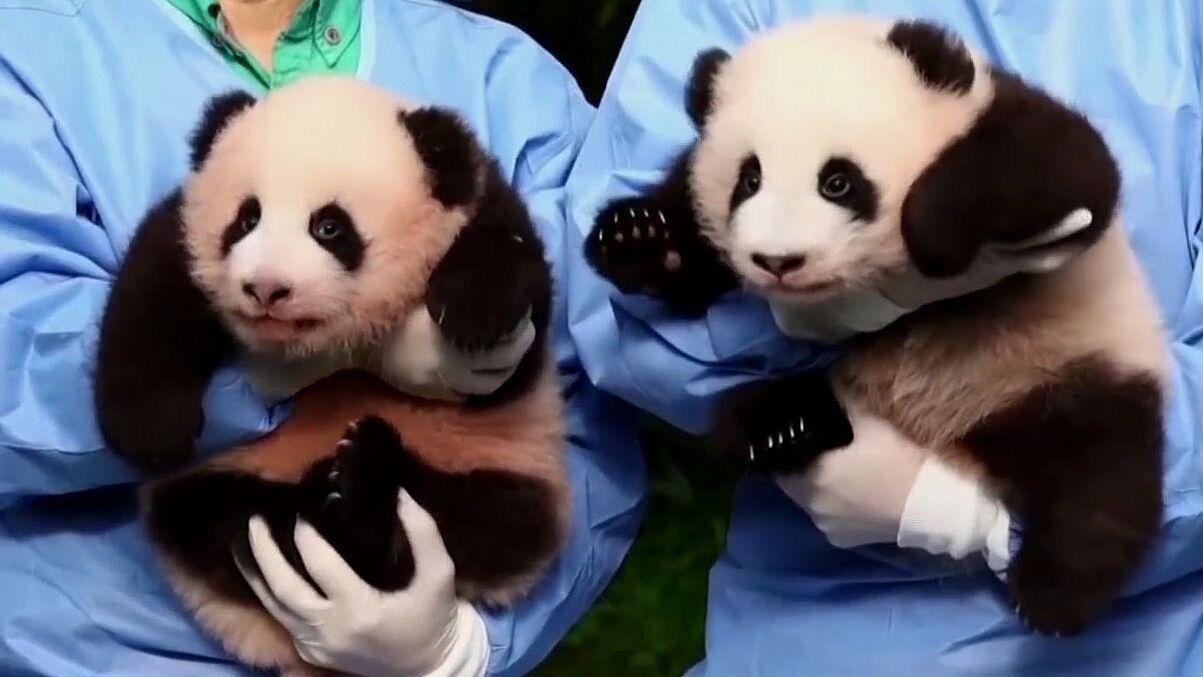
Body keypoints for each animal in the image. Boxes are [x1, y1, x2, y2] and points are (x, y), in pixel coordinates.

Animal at [94, 76, 568, 674]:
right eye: (247, 219)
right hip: (215, 492)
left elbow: (512, 307)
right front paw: (151, 430)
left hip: (507, 466)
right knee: (226, 518)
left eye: (329, 227)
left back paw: (364, 493)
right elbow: (154, 293)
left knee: (489, 520)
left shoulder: (484, 213)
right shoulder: (185, 237)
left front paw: (474, 317)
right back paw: (336, 502)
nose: (266, 288)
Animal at [585, 16, 1168, 637]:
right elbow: (686, 247)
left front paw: (933, 236)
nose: (778, 261)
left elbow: (1062, 168)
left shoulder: (1008, 124)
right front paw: (636, 236)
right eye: (749, 179)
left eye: (838, 181)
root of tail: (959, 450)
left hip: (1060, 365)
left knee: (1103, 474)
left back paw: (1055, 593)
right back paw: (785, 425)